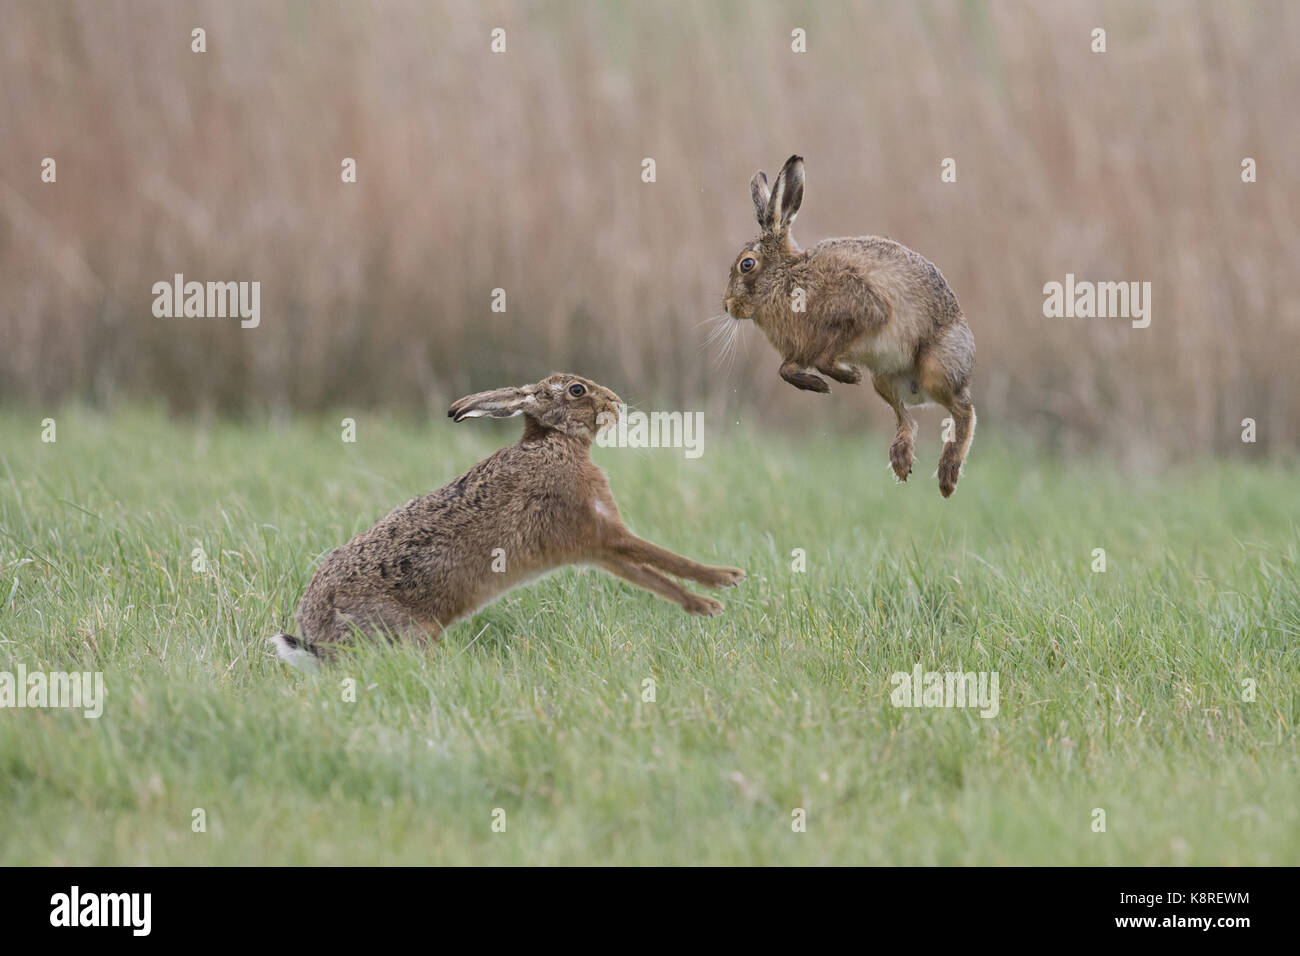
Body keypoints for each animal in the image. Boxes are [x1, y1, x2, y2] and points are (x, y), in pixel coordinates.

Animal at [270, 373, 745, 668]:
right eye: (576, 389)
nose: (617, 404)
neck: (556, 444)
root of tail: (314, 639)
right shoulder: (599, 532)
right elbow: (663, 559)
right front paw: (723, 584)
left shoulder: (596, 548)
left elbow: (650, 575)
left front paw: (705, 604)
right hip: (408, 633)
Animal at [723, 154, 976, 497]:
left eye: (746, 264)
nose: (727, 306)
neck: (786, 278)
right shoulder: (799, 351)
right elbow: (786, 369)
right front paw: (820, 384)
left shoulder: (864, 310)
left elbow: (825, 355)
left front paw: (845, 376)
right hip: (883, 379)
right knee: (908, 419)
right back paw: (901, 459)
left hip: (936, 369)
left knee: (965, 412)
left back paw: (947, 475)